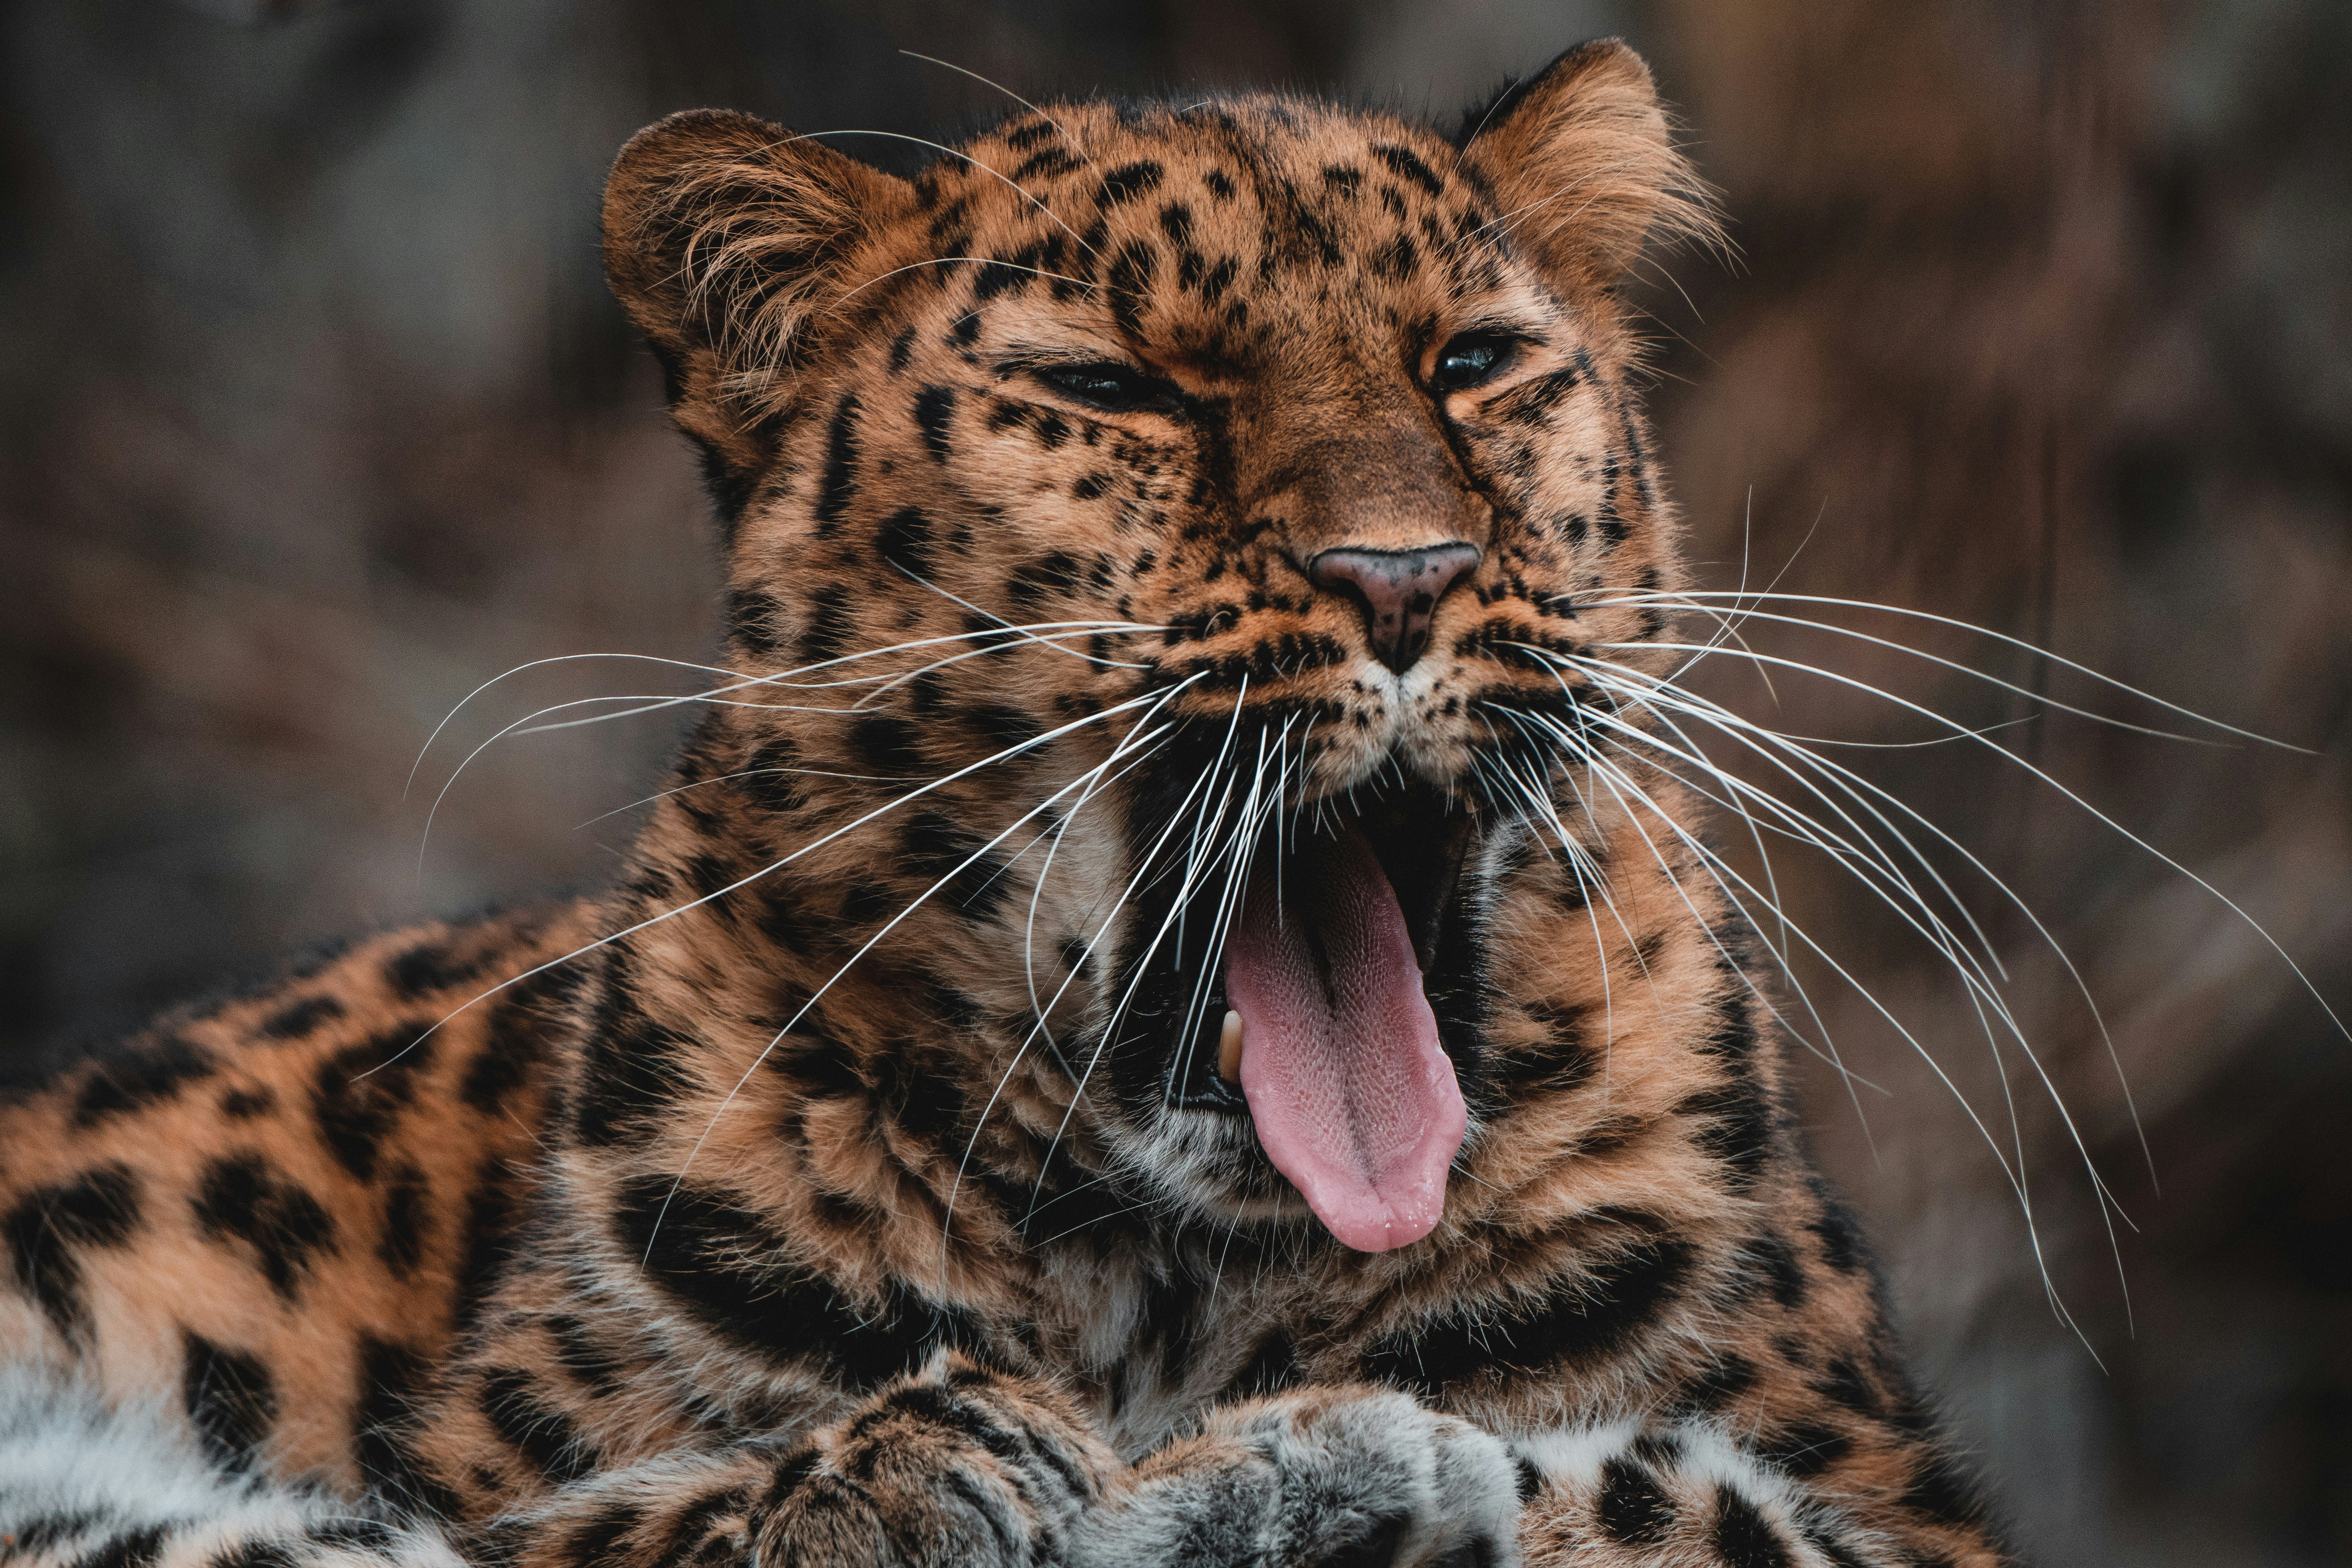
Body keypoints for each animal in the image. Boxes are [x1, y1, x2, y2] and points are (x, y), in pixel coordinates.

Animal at [0, 40, 2012, 1568]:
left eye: (1470, 363)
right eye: (1114, 390)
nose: (1403, 575)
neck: (1183, 1281)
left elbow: (1697, 1507)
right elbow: (584, 1520)